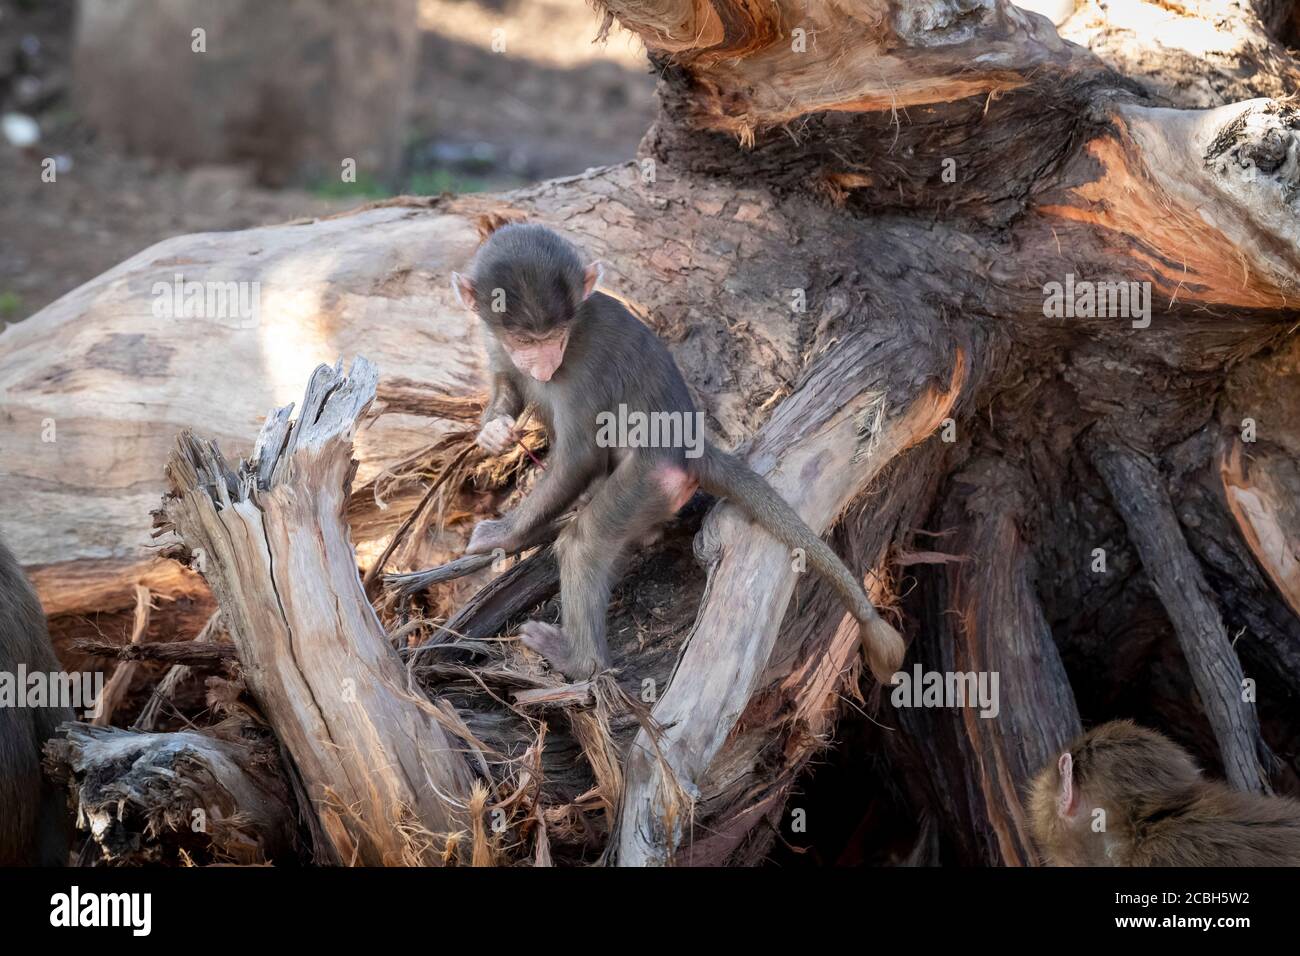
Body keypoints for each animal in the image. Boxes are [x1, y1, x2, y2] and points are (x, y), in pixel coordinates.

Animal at [451, 223, 905, 683]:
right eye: (524, 339)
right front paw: (493, 433)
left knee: (584, 541)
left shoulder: (586, 363)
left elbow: (580, 457)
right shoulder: (495, 340)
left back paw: (579, 661)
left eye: (556, 336)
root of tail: (689, 446)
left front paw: (504, 534)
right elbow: (507, 384)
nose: (544, 365)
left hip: (651, 478)